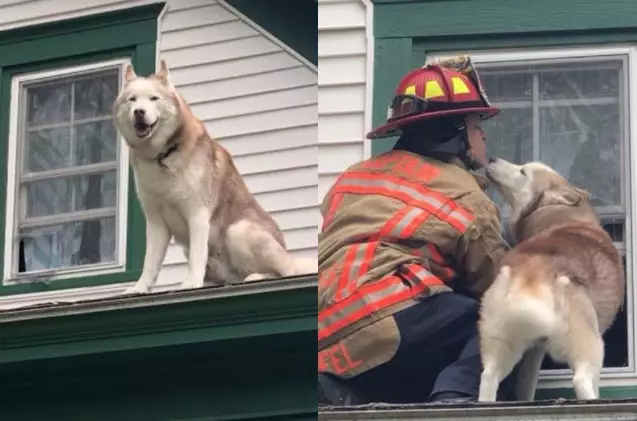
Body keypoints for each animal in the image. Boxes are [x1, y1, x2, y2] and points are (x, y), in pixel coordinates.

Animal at [113, 60, 318, 294]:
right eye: (132, 100)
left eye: (154, 98)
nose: (139, 112)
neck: (163, 155)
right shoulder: (156, 222)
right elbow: (150, 263)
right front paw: (139, 288)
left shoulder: (198, 214)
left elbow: (197, 256)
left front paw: (192, 283)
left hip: (238, 231)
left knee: (286, 272)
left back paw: (256, 277)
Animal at [476, 157, 620, 400]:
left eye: (522, 171)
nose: (492, 158)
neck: (557, 214)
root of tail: (532, 271)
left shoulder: (535, 351)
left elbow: (526, 385)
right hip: (591, 347)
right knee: (581, 380)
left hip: (503, 345)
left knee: (488, 377)